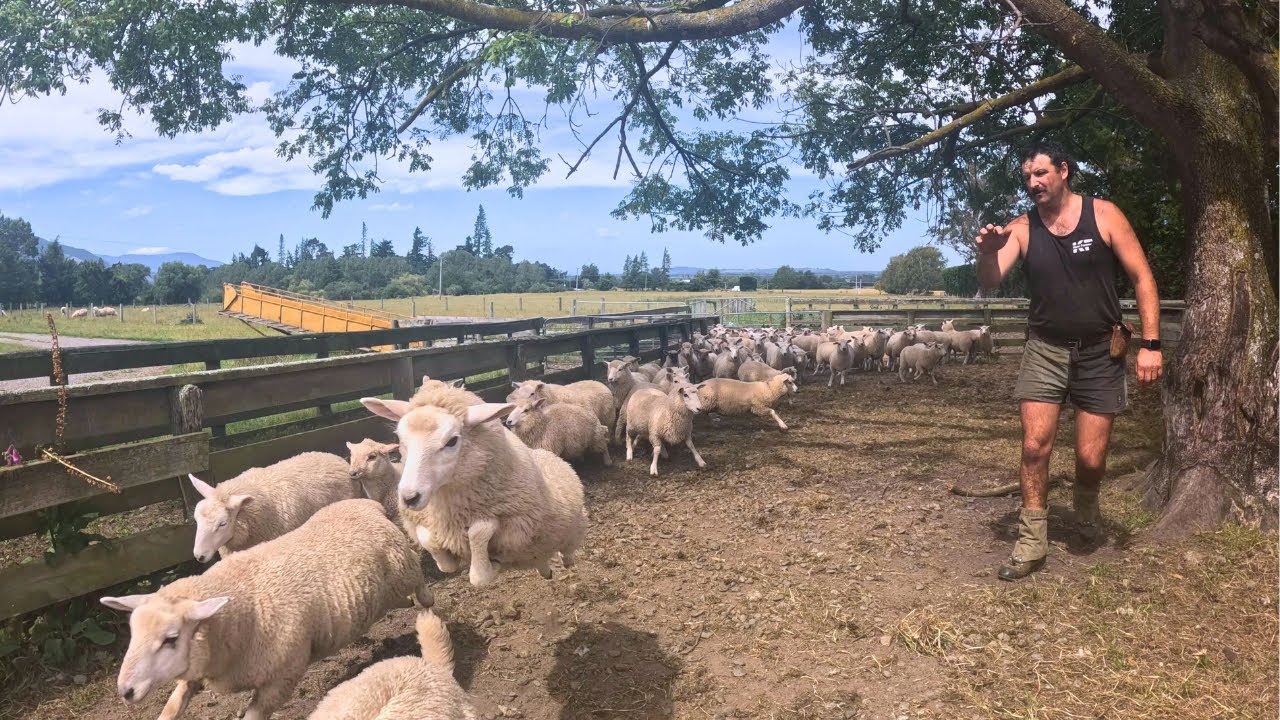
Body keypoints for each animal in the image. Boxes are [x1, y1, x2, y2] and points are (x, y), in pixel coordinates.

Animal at [101, 499, 431, 720]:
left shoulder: (279, 679)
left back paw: (426, 605)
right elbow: (171, 708)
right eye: (133, 634)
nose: (125, 691)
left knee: (419, 578)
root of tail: (367, 504)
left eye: (171, 639)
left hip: (404, 567)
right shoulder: (195, 669)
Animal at [361, 383, 588, 588]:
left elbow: (478, 569)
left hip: (572, 531)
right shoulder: (427, 525)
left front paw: (491, 559)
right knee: (541, 559)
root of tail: (548, 454)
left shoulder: (515, 533)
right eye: (400, 438)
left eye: (452, 441)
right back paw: (546, 571)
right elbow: (438, 554)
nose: (409, 498)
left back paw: (566, 561)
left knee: (568, 551)